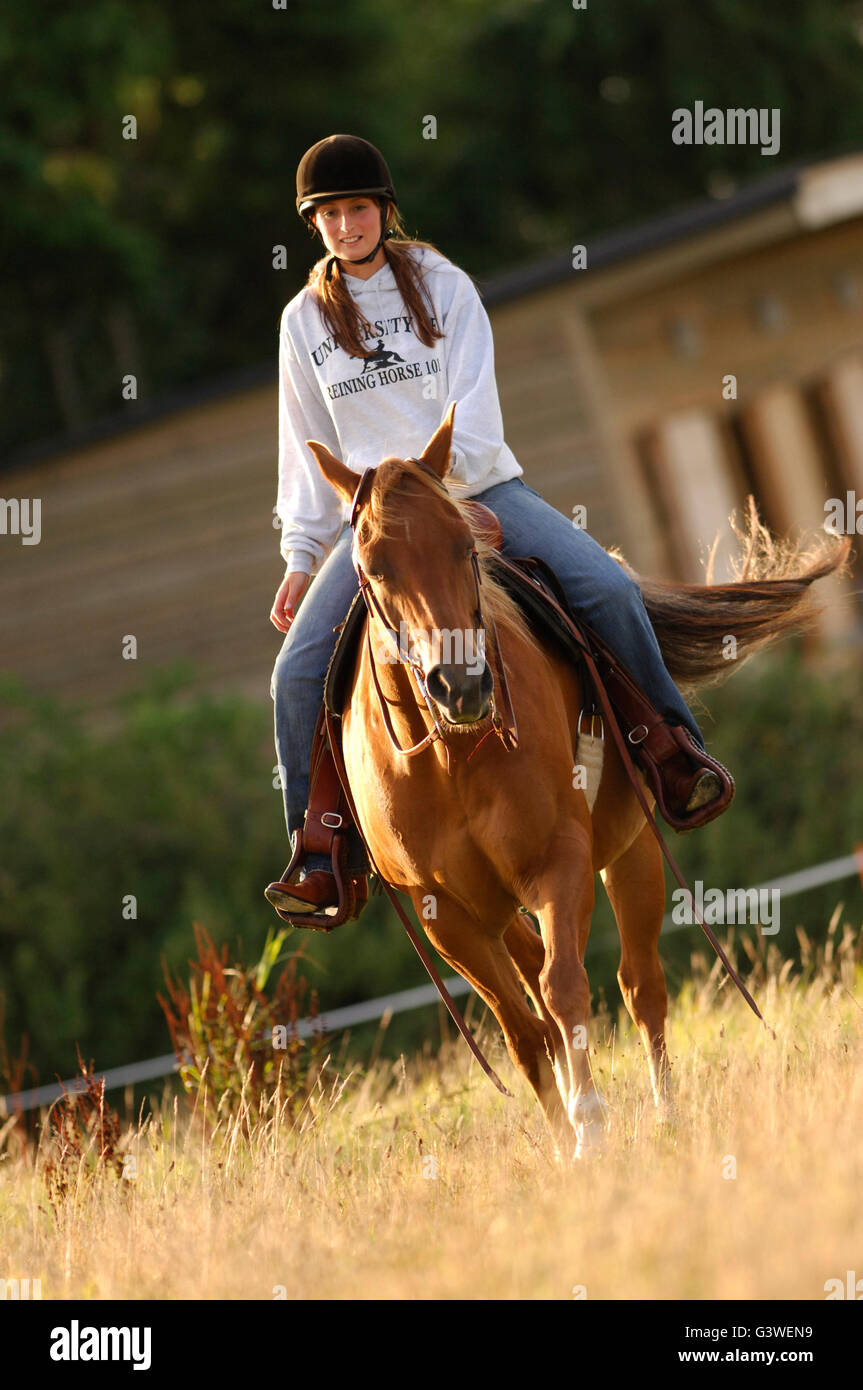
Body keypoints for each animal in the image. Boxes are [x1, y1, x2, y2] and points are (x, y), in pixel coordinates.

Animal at [306, 405, 850, 1159]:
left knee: (638, 983)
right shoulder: (443, 914)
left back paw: (666, 1115)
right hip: (498, 907)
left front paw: (590, 1129)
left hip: (632, 852)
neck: (453, 757)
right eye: (372, 567)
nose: (461, 686)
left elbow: (566, 986)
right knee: (538, 984)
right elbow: (522, 1028)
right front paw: (566, 1141)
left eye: (462, 547)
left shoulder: (558, 860)